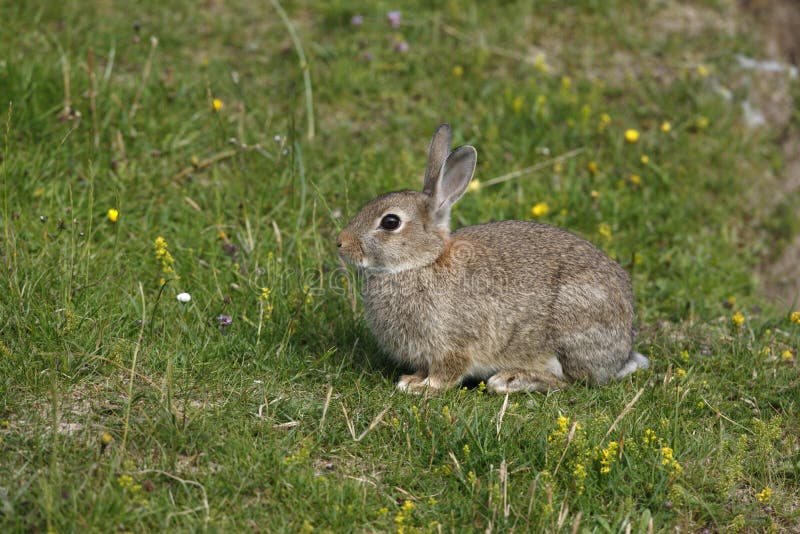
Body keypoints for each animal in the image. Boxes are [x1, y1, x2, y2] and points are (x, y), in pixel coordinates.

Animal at [337, 123, 649, 393]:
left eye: (390, 222)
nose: (341, 244)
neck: (424, 261)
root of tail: (622, 350)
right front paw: (411, 379)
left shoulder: (454, 345)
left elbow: (447, 373)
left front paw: (421, 387)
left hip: (571, 325)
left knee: (570, 381)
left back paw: (510, 380)